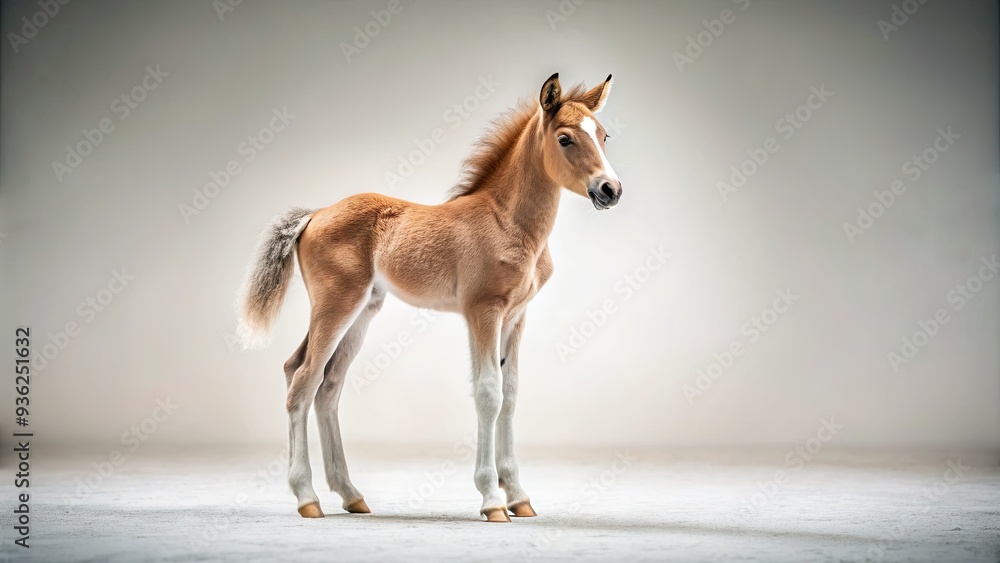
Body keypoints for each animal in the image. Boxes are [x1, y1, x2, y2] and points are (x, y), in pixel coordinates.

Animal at [235, 72, 623, 522]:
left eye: (604, 135)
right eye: (564, 138)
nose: (610, 189)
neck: (507, 221)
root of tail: (314, 214)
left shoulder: (516, 317)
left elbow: (511, 395)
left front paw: (518, 496)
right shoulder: (483, 311)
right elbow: (489, 393)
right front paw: (492, 500)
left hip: (363, 310)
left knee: (323, 382)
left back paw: (351, 494)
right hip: (336, 304)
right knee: (303, 379)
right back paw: (307, 498)